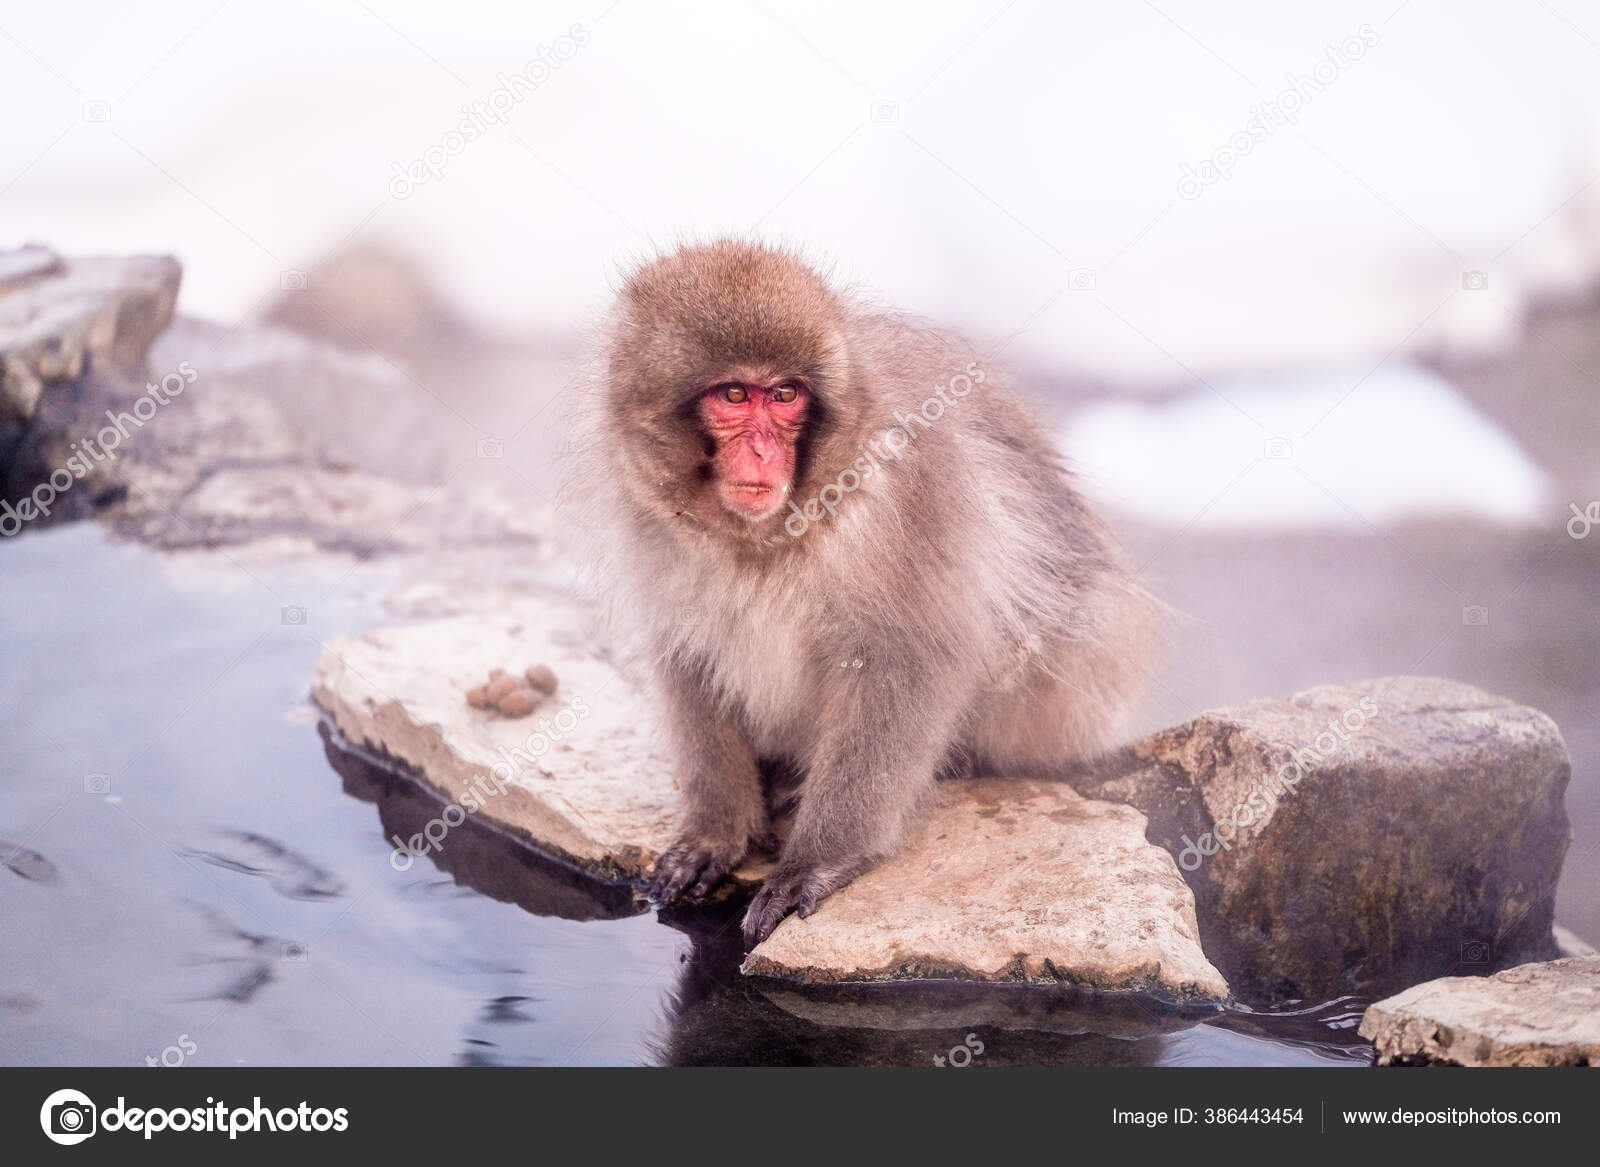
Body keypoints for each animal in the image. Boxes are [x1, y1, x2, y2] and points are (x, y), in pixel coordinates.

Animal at [566, 240, 1159, 948]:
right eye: (735, 394)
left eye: (785, 395)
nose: (763, 452)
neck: (769, 534)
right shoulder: (650, 512)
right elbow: (687, 649)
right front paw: (718, 831)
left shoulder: (907, 490)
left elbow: (908, 660)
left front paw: (819, 862)